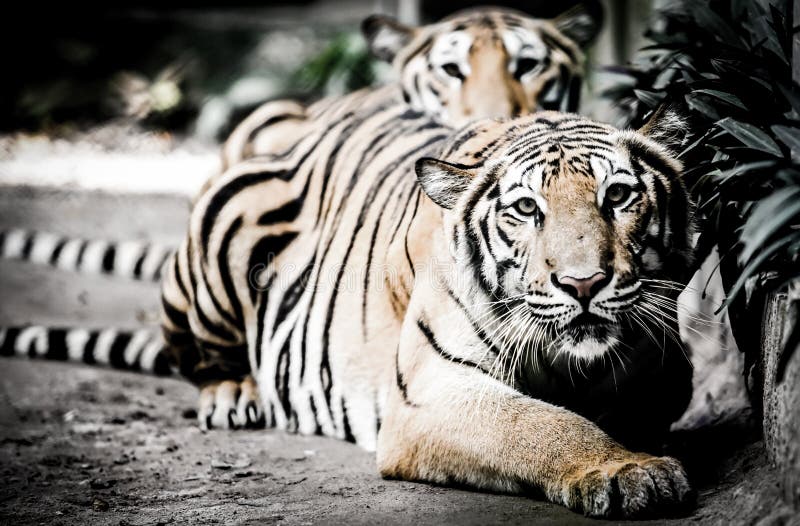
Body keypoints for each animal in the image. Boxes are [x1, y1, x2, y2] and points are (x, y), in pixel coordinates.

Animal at [158, 79, 697, 518]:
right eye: (526, 208)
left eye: (618, 196)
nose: (583, 284)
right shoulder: (431, 388)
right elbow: (541, 423)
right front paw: (624, 470)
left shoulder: (665, 369)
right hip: (224, 226)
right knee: (198, 354)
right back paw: (234, 394)